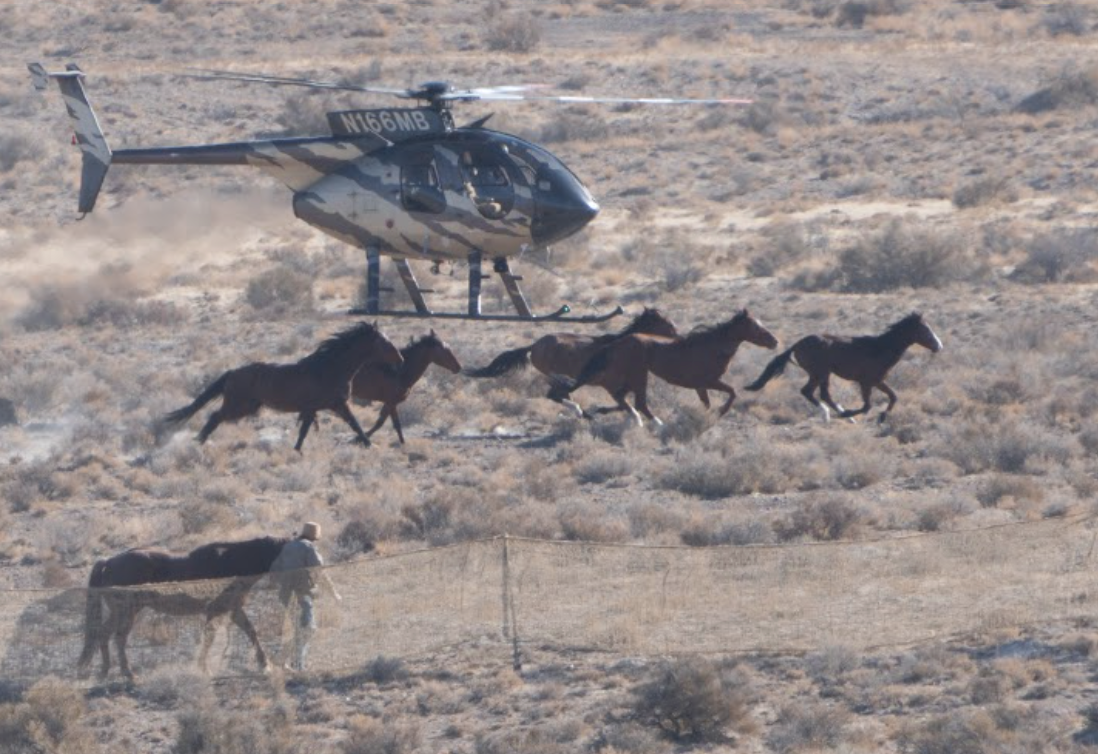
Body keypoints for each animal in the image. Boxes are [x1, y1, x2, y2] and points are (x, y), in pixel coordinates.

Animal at [78, 536, 289, 681]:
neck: (231, 562)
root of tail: (108, 562)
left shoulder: (233, 609)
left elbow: (250, 631)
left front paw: (265, 664)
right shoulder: (217, 610)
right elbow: (210, 638)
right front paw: (204, 668)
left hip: (120, 612)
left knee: (103, 634)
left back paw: (105, 671)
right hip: (128, 611)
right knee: (118, 637)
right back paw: (127, 673)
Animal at [161, 321, 402, 451]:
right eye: (385, 342)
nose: (400, 360)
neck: (330, 368)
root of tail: (232, 373)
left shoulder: (324, 407)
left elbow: (311, 430)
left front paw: (297, 451)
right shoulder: (333, 405)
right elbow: (354, 424)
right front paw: (369, 444)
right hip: (240, 406)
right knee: (215, 417)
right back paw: (199, 442)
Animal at [464, 307, 679, 413]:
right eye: (667, 323)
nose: (678, 337)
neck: (619, 347)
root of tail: (534, 346)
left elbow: (625, 403)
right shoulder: (609, 383)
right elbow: (624, 403)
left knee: (559, 394)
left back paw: (581, 411)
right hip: (557, 375)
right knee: (555, 394)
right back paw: (579, 411)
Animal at [549, 310, 778, 426]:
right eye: (755, 326)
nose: (774, 341)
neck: (712, 347)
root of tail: (617, 343)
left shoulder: (701, 386)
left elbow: (708, 403)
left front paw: (707, 418)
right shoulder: (708, 381)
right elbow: (732, 393)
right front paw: (719, 412)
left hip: (632, 376)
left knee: (624, 399)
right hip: (639, 374)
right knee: (639, 403)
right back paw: (658, 424)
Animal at [744, 312, 943, 423]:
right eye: (925, 330)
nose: (939, 346)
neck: (880, 348)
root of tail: (797, 345)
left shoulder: (877, 381)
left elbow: (893, 397)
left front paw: (881, 418)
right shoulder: (866, 382)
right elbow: (867, 406)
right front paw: (849, 413)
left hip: (822, 374)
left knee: (821, 394)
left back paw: (839, 415)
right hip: (819, 373)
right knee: (809, 392)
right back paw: (832, 414)